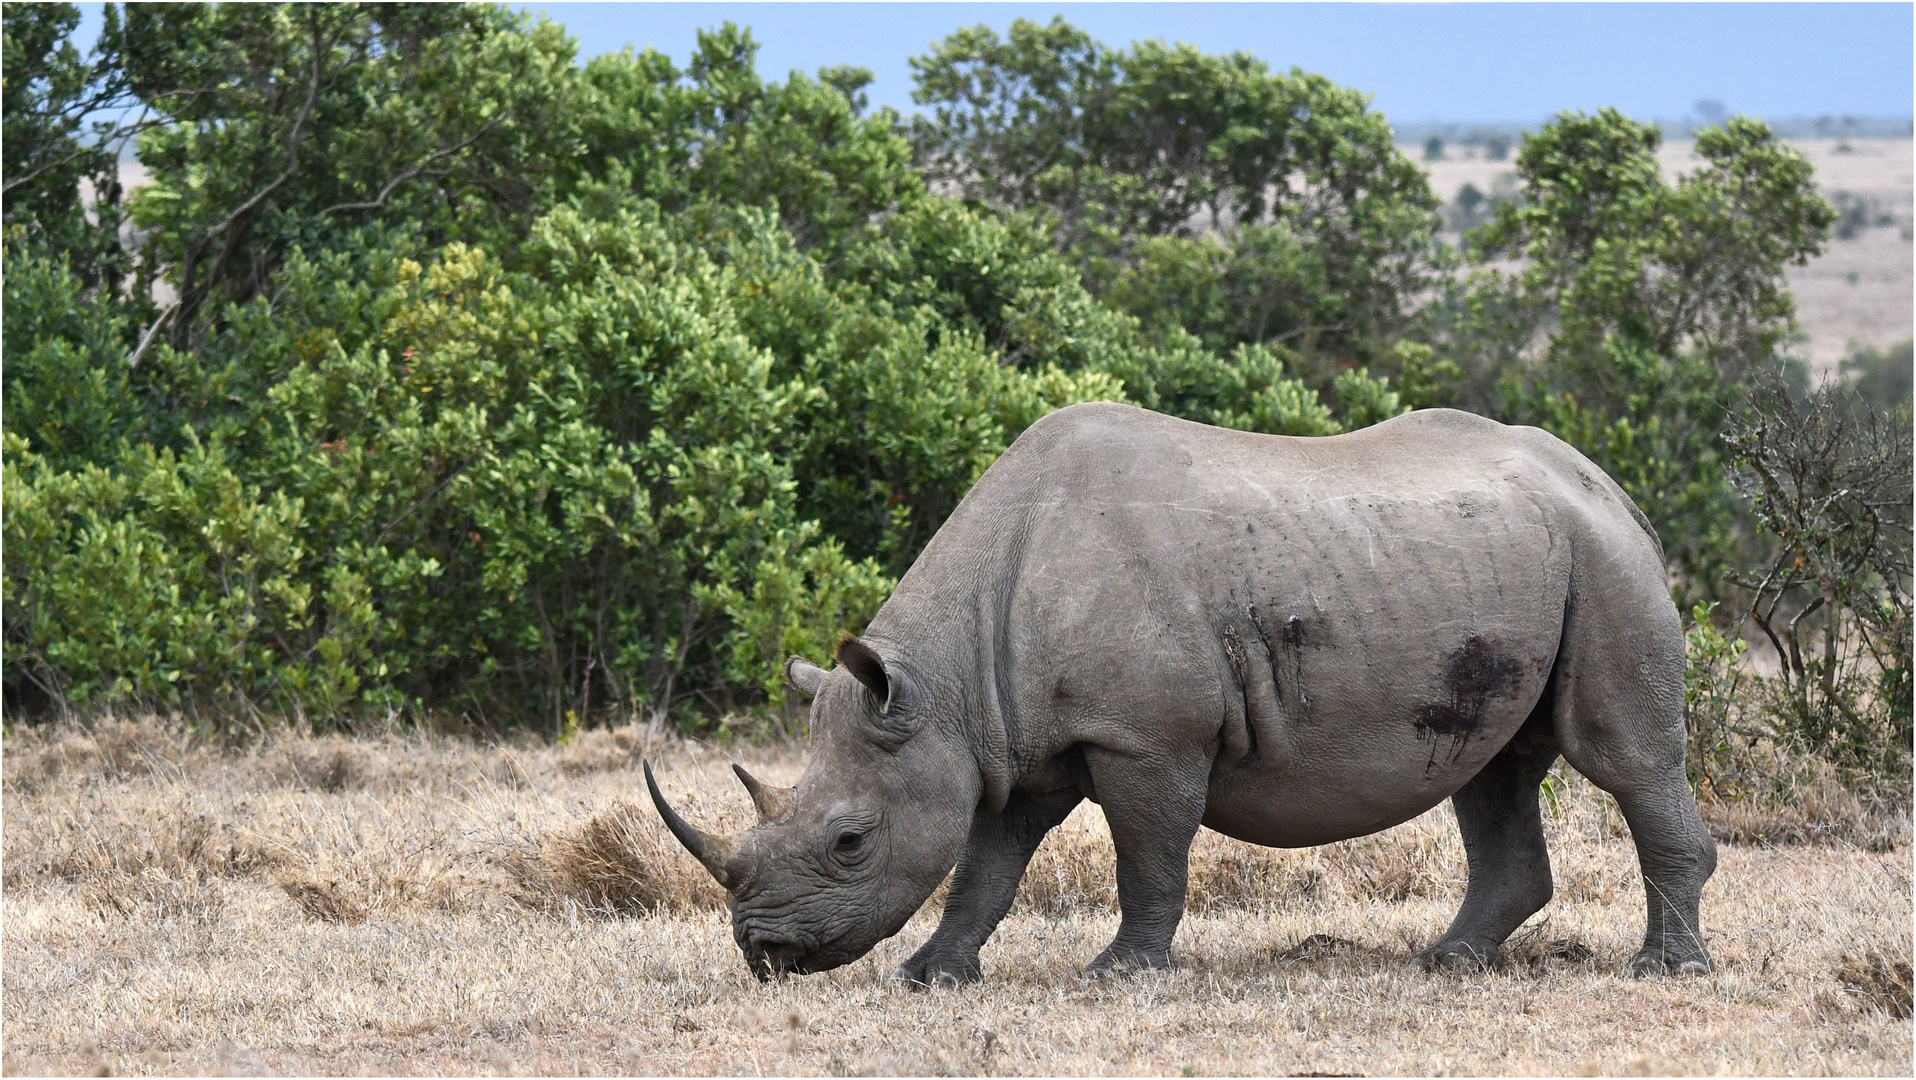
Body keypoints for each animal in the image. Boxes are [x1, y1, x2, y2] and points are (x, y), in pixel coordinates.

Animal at [647, 400, 1724, 980]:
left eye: (849, 843)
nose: (764, 955)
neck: (945, 684)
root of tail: (1609, 483)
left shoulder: (1144, 736)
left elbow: (1149, 856)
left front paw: (1121, 973)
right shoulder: (1008, 745)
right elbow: (985, 867)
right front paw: (929, 978)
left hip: (1602, 560)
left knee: (1620, 757)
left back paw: (1664, 968)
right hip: (1516, 560)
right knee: (1491, 771)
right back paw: (1448, 961)